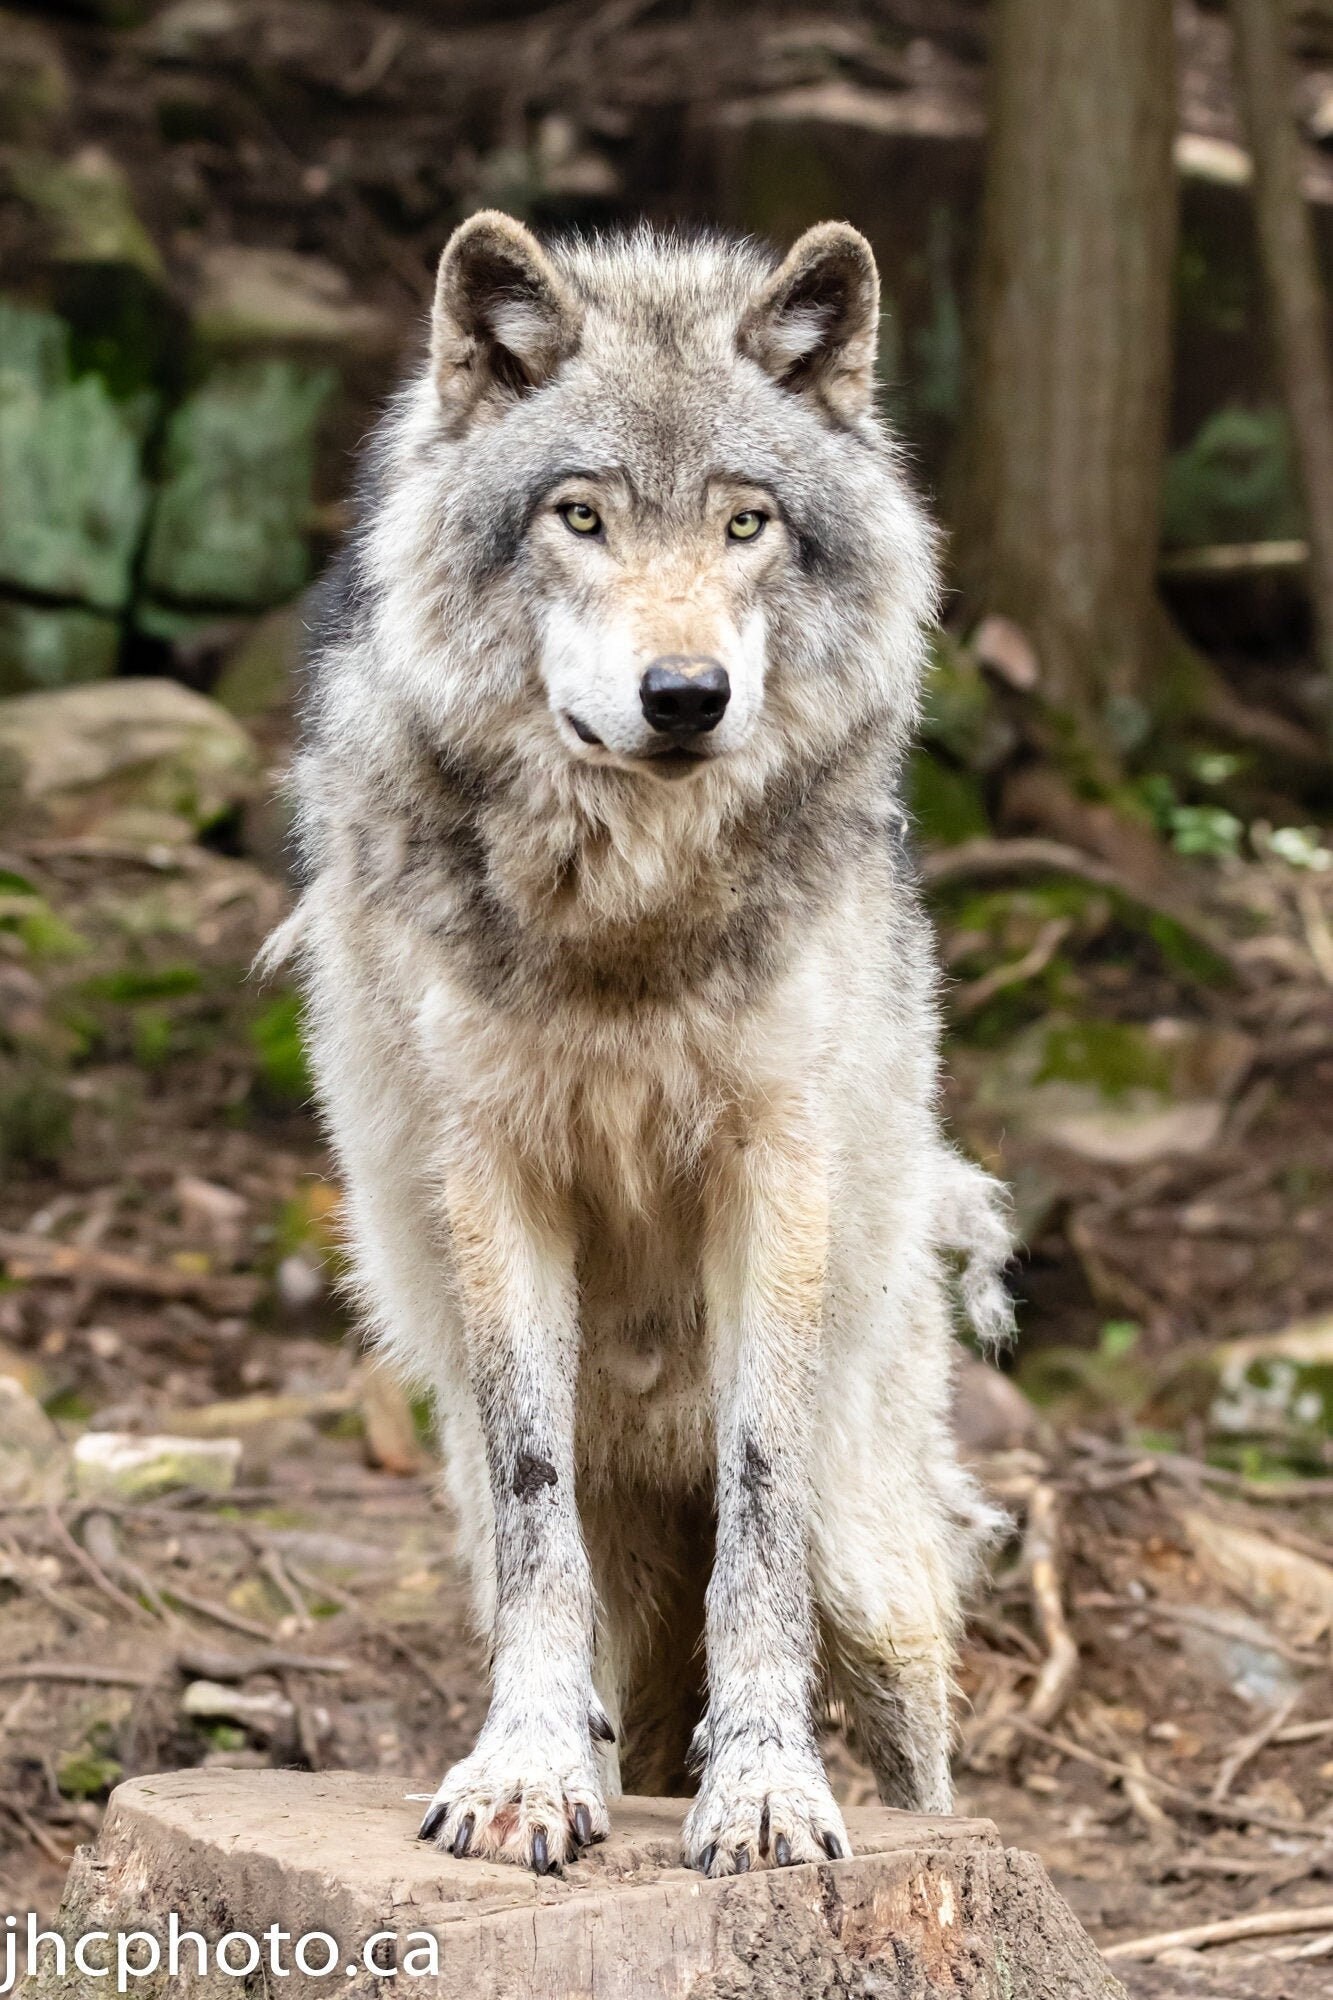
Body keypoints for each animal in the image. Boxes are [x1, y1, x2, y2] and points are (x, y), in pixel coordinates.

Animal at [276, 211, 1015, 1878]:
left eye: (746, 523)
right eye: (580, 517)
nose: (685, 697)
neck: (626, 910)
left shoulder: (773, 1176)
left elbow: (759, 1507)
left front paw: (768, 1792)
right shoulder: (493, 1179)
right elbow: (536, 1497)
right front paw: (525, 1776)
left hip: (876, 1567)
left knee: (916, 1735)